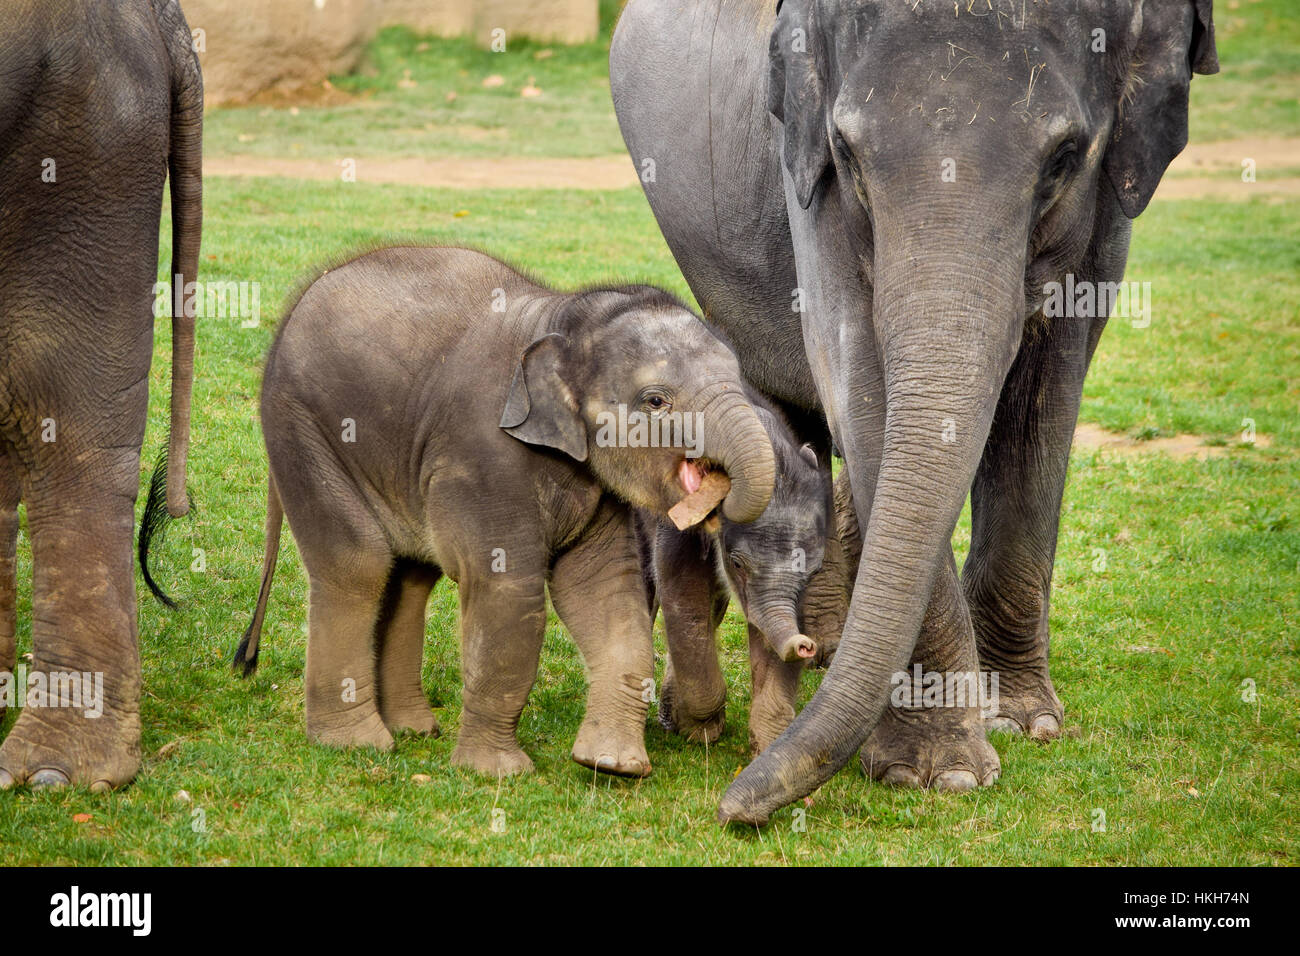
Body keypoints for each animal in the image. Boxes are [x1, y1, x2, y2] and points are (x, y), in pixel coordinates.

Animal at [231, 245, 775, 779]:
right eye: (656, 401)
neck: (561, 317)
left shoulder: (595, 481)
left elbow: (604, 589)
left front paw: (613, 766)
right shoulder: (482, 456)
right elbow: (507, 590)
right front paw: (497, 773)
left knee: (410, 575)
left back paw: (413, 730)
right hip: (303, 430)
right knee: (358, 564)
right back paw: (357, 744)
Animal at [639, 387, 834, 755]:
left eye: (815, 572)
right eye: (737, 563)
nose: (806, 645)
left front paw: (769, 746)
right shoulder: (677, 514)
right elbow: (683, 591)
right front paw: (701, 731)